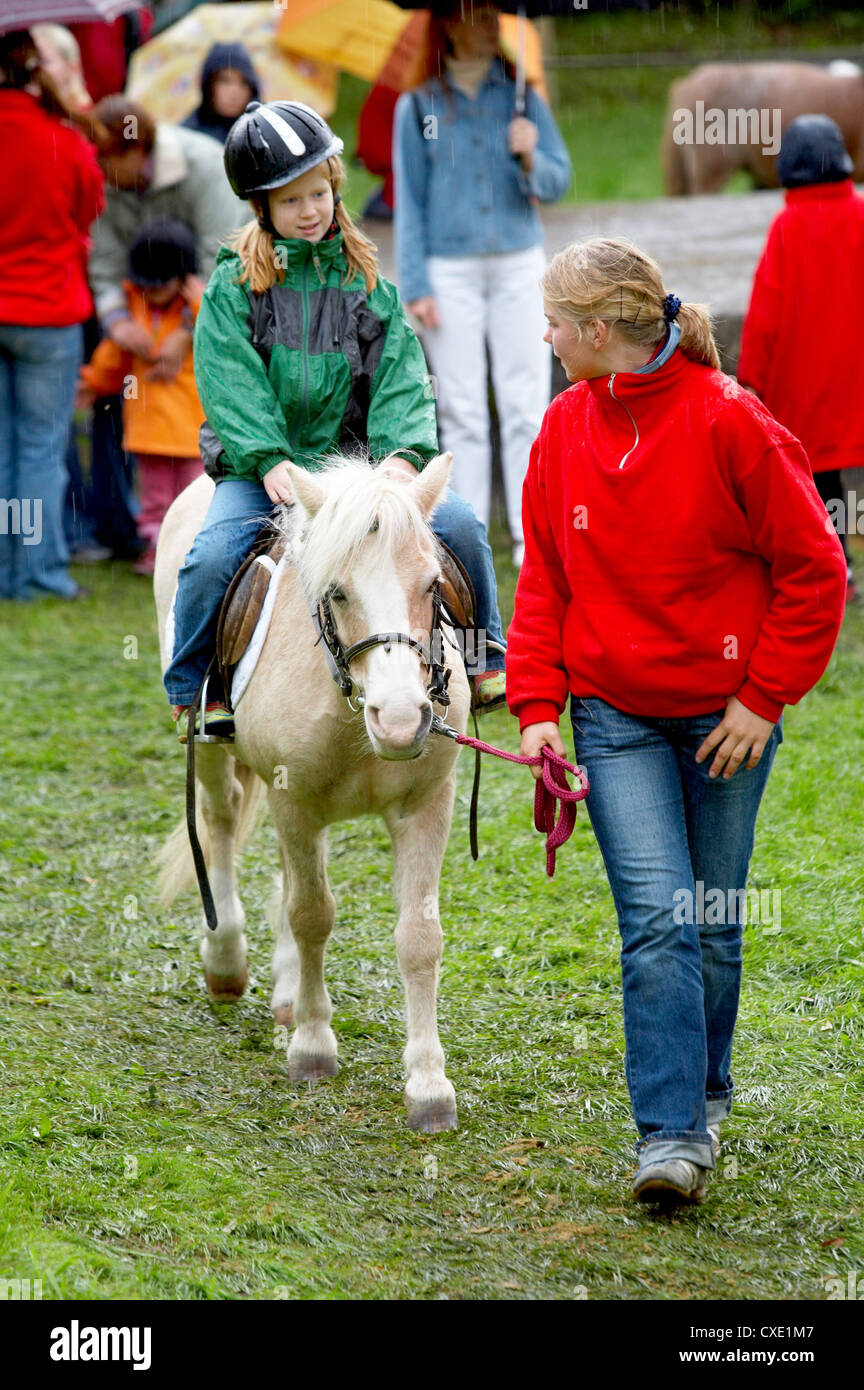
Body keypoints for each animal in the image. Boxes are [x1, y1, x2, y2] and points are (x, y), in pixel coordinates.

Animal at [153, 453, 471, 1133]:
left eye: (434, 586)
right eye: (338, 591)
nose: (401, 721)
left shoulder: (427, 804)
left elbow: (419, 937)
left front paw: (429, 1084)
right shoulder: (293, 801)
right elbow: (312, 915)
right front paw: (312, 1046)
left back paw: (283, 990)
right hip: (213, 751)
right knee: (220, 825)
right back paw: (227, 962)